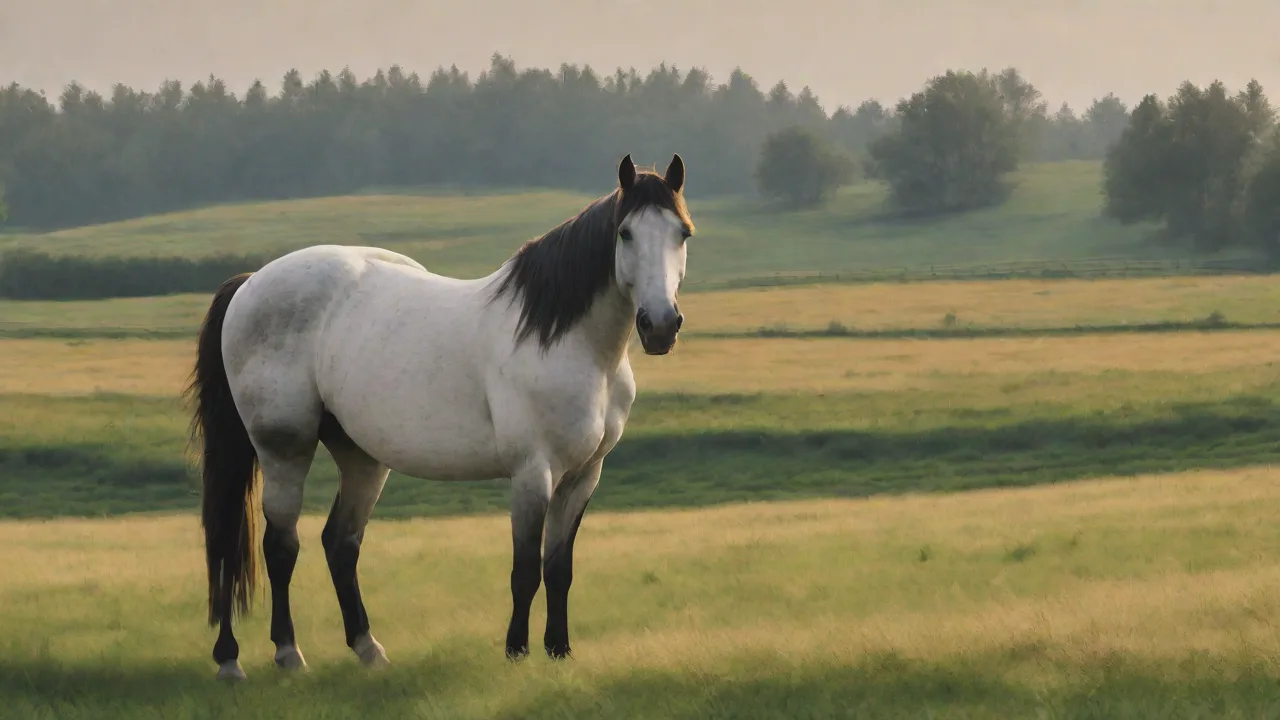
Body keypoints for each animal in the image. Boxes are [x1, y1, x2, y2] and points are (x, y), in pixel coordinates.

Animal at [185, 153, 695, 681]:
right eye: (626, 233)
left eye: (682, 233)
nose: (660, 325)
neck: (565, 342)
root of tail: (250, 283)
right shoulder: (533, 473)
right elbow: (525, 569)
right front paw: (516, 651)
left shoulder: (583, 475)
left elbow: (558, 569)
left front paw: (559, 651)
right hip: (283, 449)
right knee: (269, 545)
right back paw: (263, 656)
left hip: (361, 457)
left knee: (340, 543)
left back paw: (367, 648)